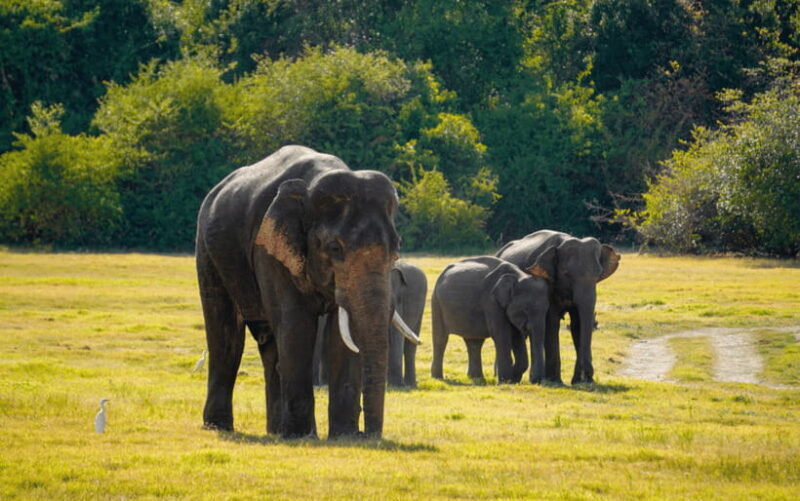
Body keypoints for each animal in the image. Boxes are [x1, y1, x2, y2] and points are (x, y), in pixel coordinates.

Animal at [195, 145, 420, 439]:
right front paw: (303, 436)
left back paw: (276, 432)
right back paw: (220, 426)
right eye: (335, 248)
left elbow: (341, 333)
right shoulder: (270, 247)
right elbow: (296, 323)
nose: (369, 435)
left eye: (396, 248)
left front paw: (344, 436)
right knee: (225, 334)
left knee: (270, 344)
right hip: (208, 250)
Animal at [496, 230, 620, 385]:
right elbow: (551, 322)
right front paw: (555, 381)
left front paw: (578, 381)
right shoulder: (547, 282)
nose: (588, 376)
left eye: (598, 274)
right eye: (566, 274)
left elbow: (578, 324)